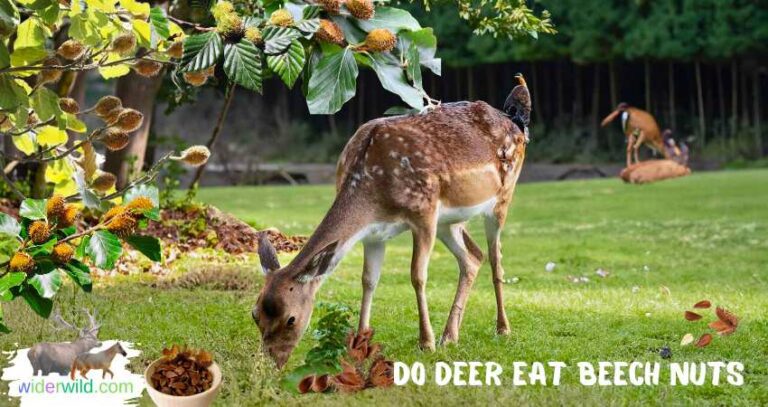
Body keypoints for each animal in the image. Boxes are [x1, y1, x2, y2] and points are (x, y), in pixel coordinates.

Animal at [252, 76, 532, 368]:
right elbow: (368, 280)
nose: (272, 363)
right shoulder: (374, 234)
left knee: (496, 259)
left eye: (291, 319)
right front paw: (359, 343)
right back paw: (450, 336)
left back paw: (501, 328)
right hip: (449, 220)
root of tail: (516, 122)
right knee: (473, 257)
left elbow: (417, 276)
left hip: (501, 197)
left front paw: (426, 342)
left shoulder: (423, 213)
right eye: (255, 314)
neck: (374, 195)